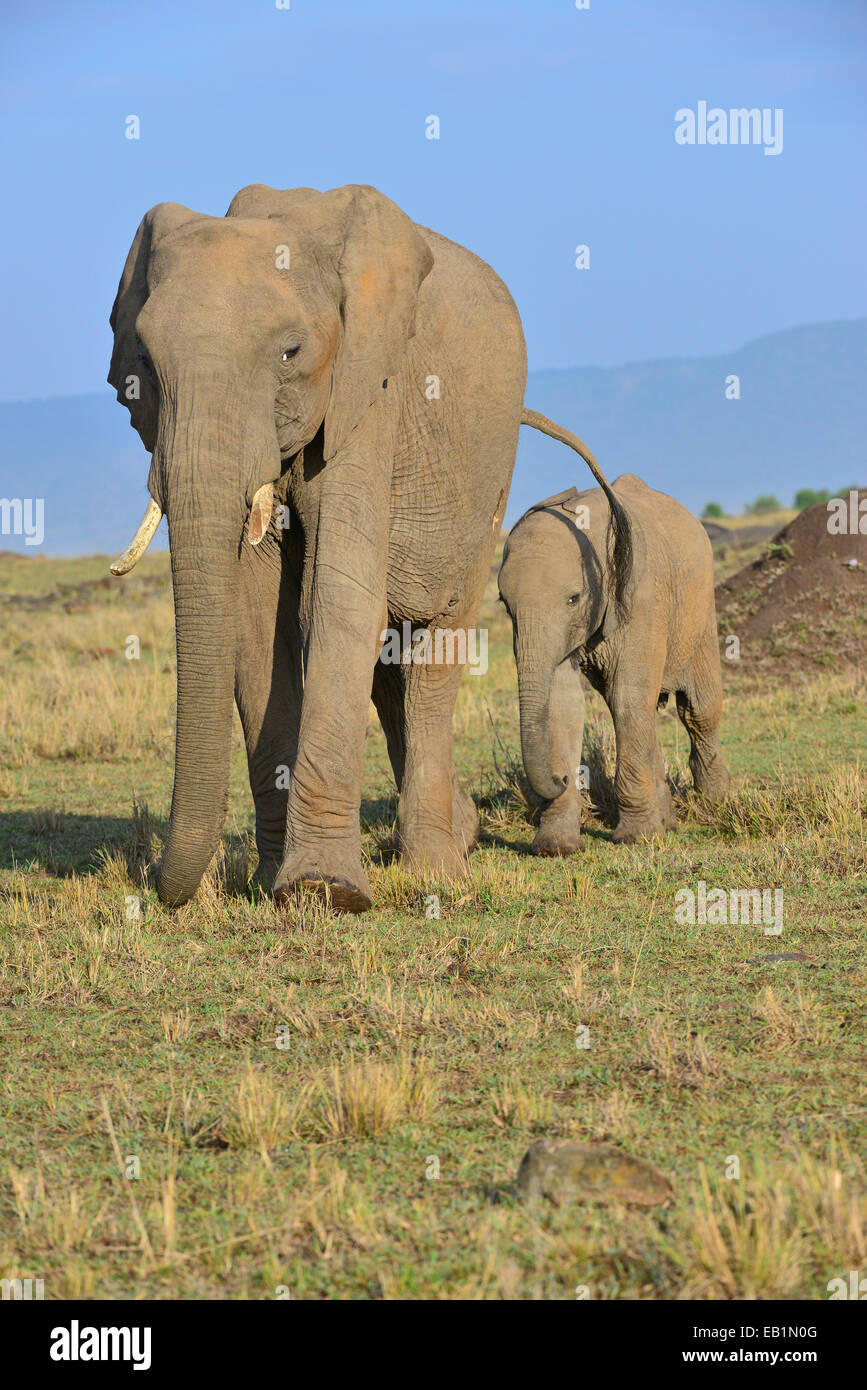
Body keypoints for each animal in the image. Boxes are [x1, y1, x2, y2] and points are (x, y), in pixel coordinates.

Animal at [107, 183, 619, 912]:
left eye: (290, 352)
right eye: (145, 362)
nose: (156, 880)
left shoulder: (367, 391)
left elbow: (338, 598)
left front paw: (322, 890)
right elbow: (257, 622)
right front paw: (271, 884)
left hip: (487, 479)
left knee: (436, 641)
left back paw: (437, 869)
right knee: (388, 662)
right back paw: (457, 834)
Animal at [497, 472, 730, 854]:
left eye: (573, 598)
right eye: (504, 604)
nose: (563, 777)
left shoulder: (644, 597)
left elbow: (628, 698)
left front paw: (637, 838)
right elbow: (564, 704)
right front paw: (556, 848)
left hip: (698, 611)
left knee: (698, 710)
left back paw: (715, 803)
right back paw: (669, 821)